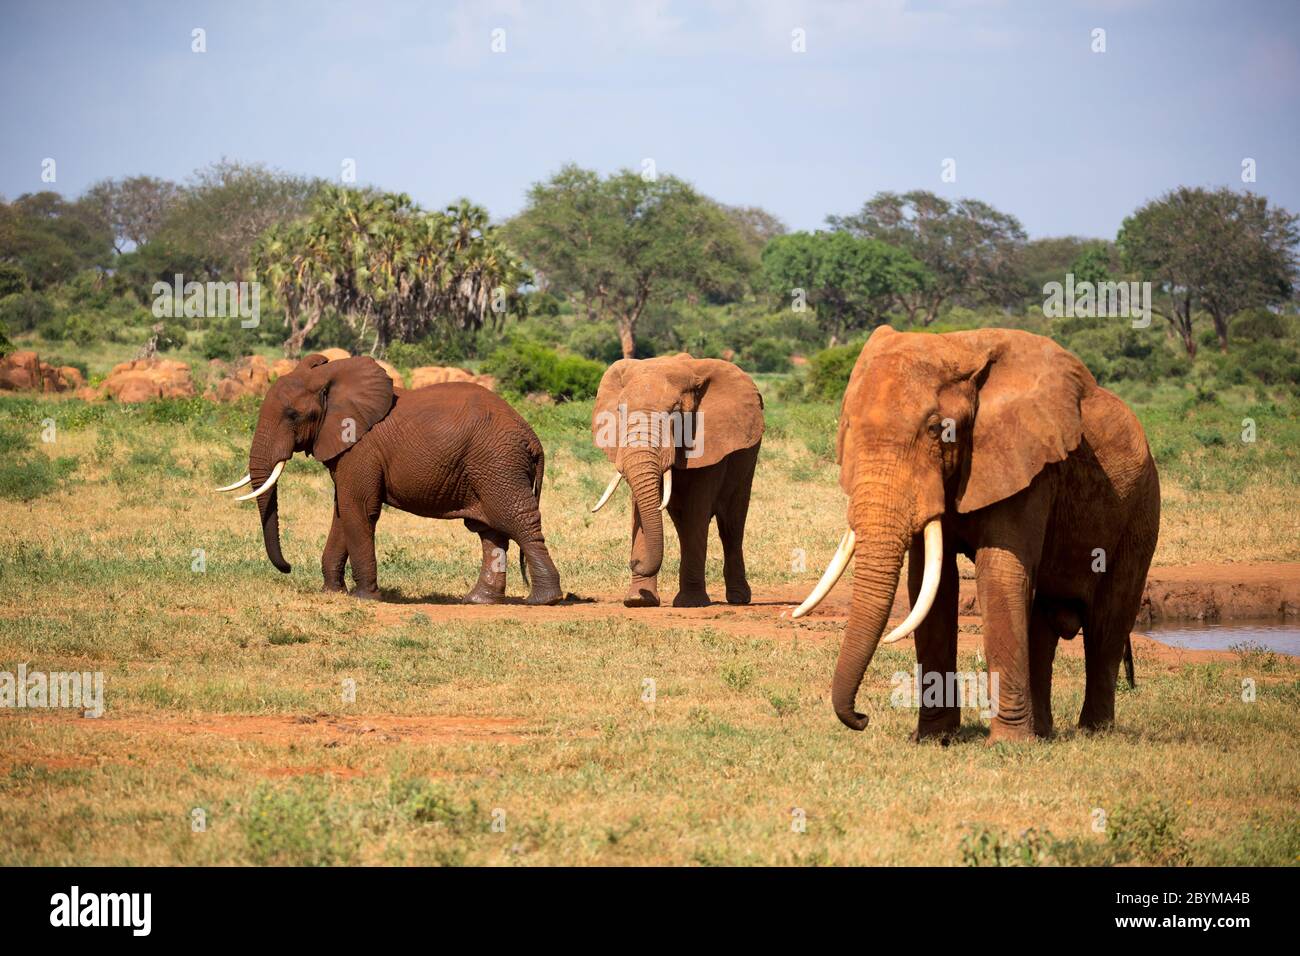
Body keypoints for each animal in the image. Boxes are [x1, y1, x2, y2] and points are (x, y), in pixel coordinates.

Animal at [216, 353, 563, 605]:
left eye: (292, 415)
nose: (288, 567)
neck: (332, 378)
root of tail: (533, 439)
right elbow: (342, 511)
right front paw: (333, 593)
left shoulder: (360, 448)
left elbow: (358, 509)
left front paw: (365, 598)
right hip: (487, 468)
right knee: (490, 531)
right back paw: (478, 601)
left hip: (498, 464)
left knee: (517, 521)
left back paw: (543, 600)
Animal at [589, 354, 764, 608]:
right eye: (620, 411)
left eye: (675, 412)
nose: (634, 562)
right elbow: (641, 507)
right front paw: (638, 600)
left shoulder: (709, 440)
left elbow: (696, 510)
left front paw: (691, 602)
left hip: (748, 459)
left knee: (731, 523)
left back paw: (739, 599)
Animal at [793, 327, 1159, 742]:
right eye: (848, 428)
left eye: (936, 430)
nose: (862, 716)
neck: (959, 346)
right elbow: (930, 583)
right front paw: (934, 740)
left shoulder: (1024, 464)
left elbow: (999, 574)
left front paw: (1008, 745)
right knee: (1044, 626)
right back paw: (1043, 733)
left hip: (1141, 507)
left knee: (1107, 623)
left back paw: (1093, 732)